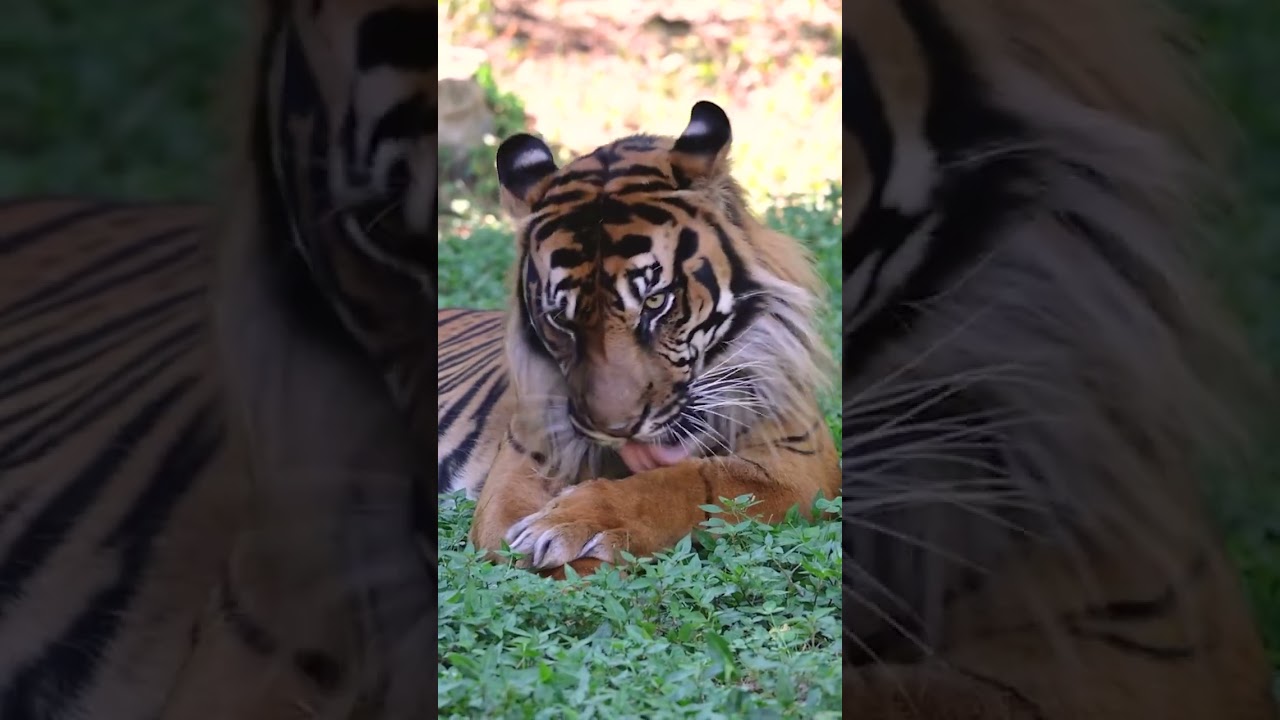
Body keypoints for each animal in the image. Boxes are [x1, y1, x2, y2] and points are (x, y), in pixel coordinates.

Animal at [437, 100, 842, 578]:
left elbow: (693, 481)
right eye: (560, 319)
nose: (617, 430)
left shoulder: (801, 464)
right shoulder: (521, 462)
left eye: (654, 302)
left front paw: (568, 525)